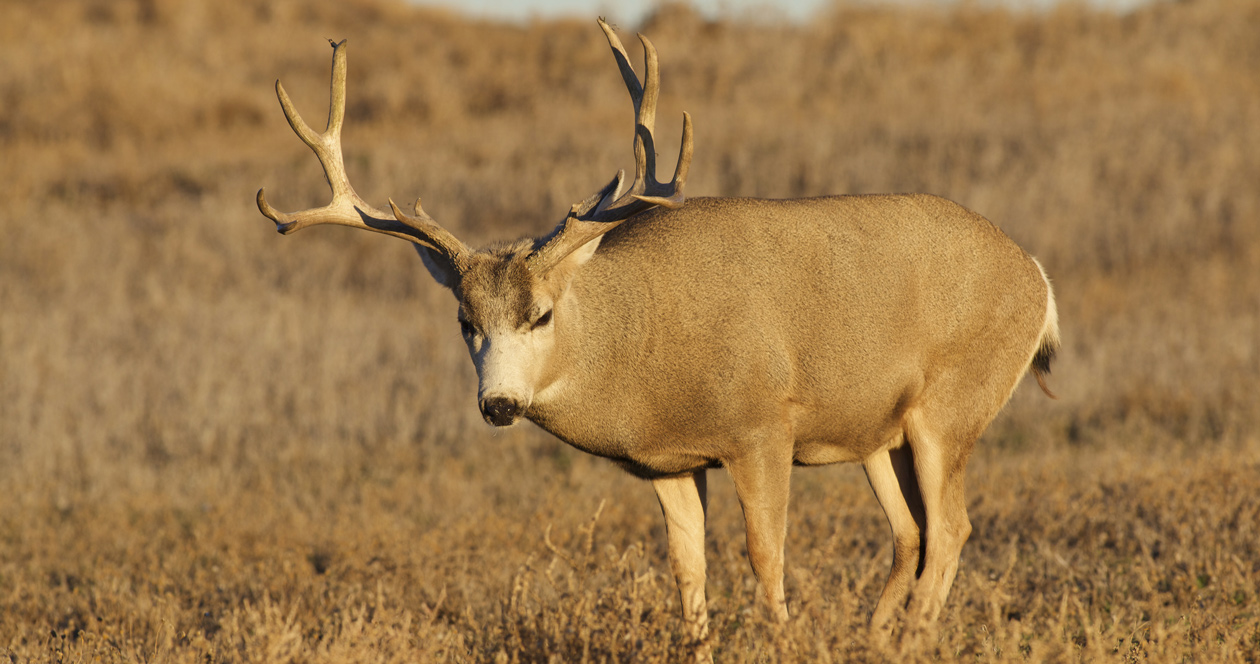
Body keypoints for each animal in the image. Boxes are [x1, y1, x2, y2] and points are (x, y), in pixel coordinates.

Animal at [256, 20, 1059, 652]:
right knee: (911, 532)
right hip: (878, 434)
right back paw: (874, 637)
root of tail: (1037, 277)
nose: (498, 404)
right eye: (464, 322)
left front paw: (780, 640)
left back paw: (912, 640)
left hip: (950, 407)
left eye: (540, 314)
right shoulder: (669, 462)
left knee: (951, 528)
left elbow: (764, 554)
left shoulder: (762, 426)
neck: (646, 348)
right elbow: (687, 570)